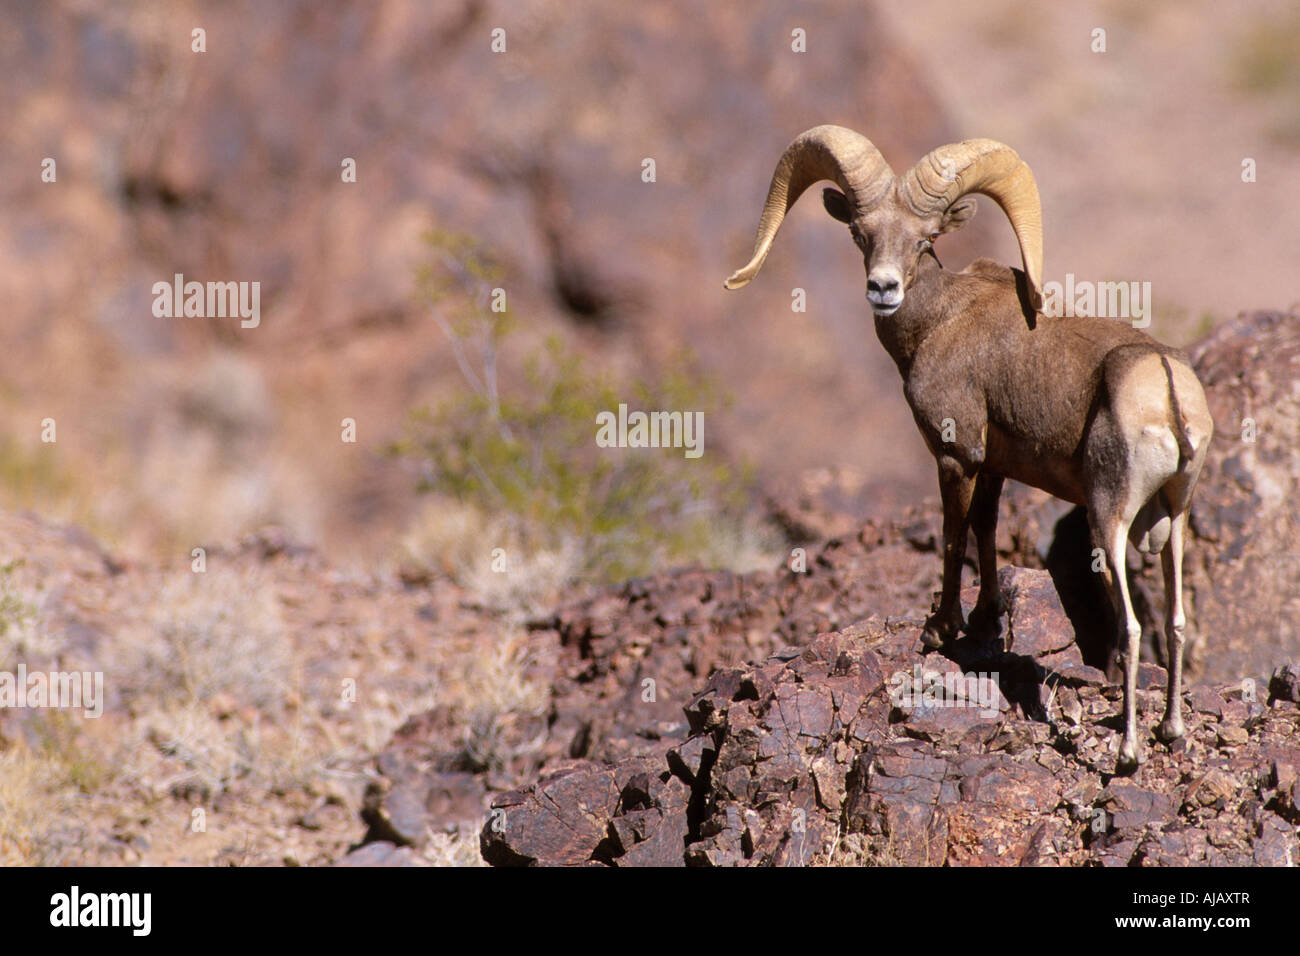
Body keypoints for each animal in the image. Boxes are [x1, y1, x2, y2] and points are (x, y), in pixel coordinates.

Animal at [723, 125, 1213, 773]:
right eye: (860, 234)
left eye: (926, 239)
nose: (883, 288)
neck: (938, 322)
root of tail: (1165, 387)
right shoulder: (997, 465)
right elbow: (985, 528)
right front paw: (984, 623)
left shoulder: (956, 458)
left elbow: (954, 536)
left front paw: (942, 629)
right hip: (1175, 518)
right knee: (1178, 621)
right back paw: (1172, 730)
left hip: (1108, 518)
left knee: (1131, 628)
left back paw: (1129, 750)